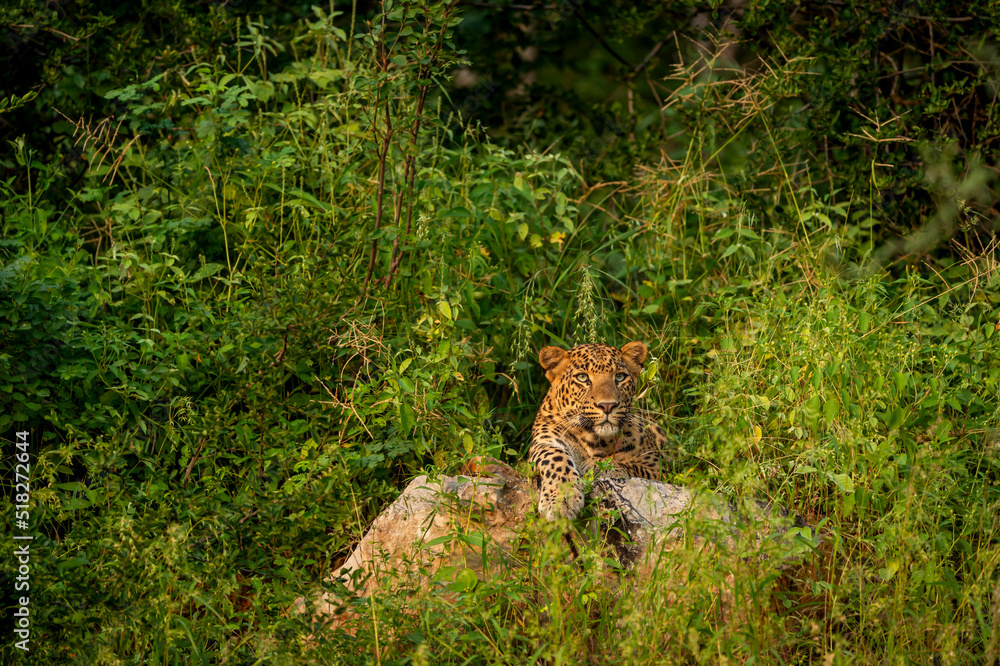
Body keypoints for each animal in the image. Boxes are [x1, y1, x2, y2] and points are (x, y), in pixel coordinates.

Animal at [529, 341, 667, 521]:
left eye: (620, 377)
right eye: (582, 377)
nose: (607, 405)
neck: (598, 439)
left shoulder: (655, 466)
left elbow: (626, 461)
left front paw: (596, 465)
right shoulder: (544, 440)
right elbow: (555, 458)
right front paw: (561, 500)